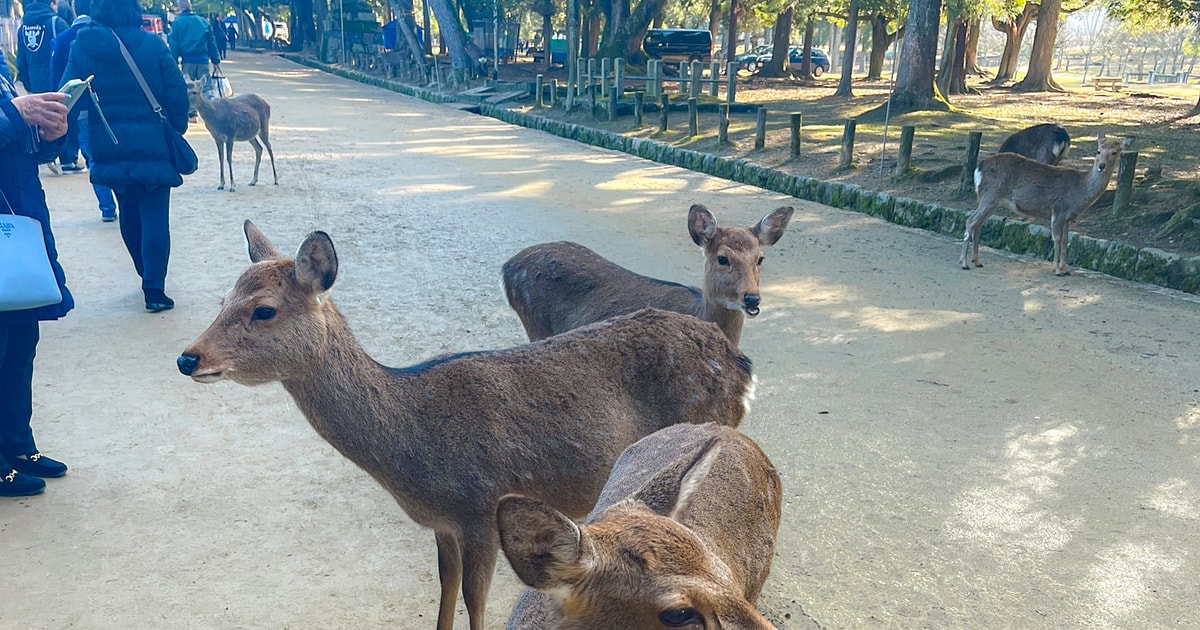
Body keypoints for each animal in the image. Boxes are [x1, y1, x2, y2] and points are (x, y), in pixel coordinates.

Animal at [502, 204, 794, 347]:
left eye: (760, 258)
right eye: (723, 258)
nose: (752, 299)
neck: (697, 312)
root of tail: (507, 267)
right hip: (536, 326)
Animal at [961, 133, 1134, 276]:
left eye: (1115, 152)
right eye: (1098, 151)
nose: (1101, 166)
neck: (1079, 192)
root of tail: (979, 168)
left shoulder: (1067, 217)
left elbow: (1065, 240)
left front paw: (1066, 268)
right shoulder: (1058, 210)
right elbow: (1056, 239)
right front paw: (1057, 270)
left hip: (990, 200)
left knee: (978, 225)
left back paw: (977, 261)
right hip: (990, 196)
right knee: (970, 221)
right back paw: (964, 263)